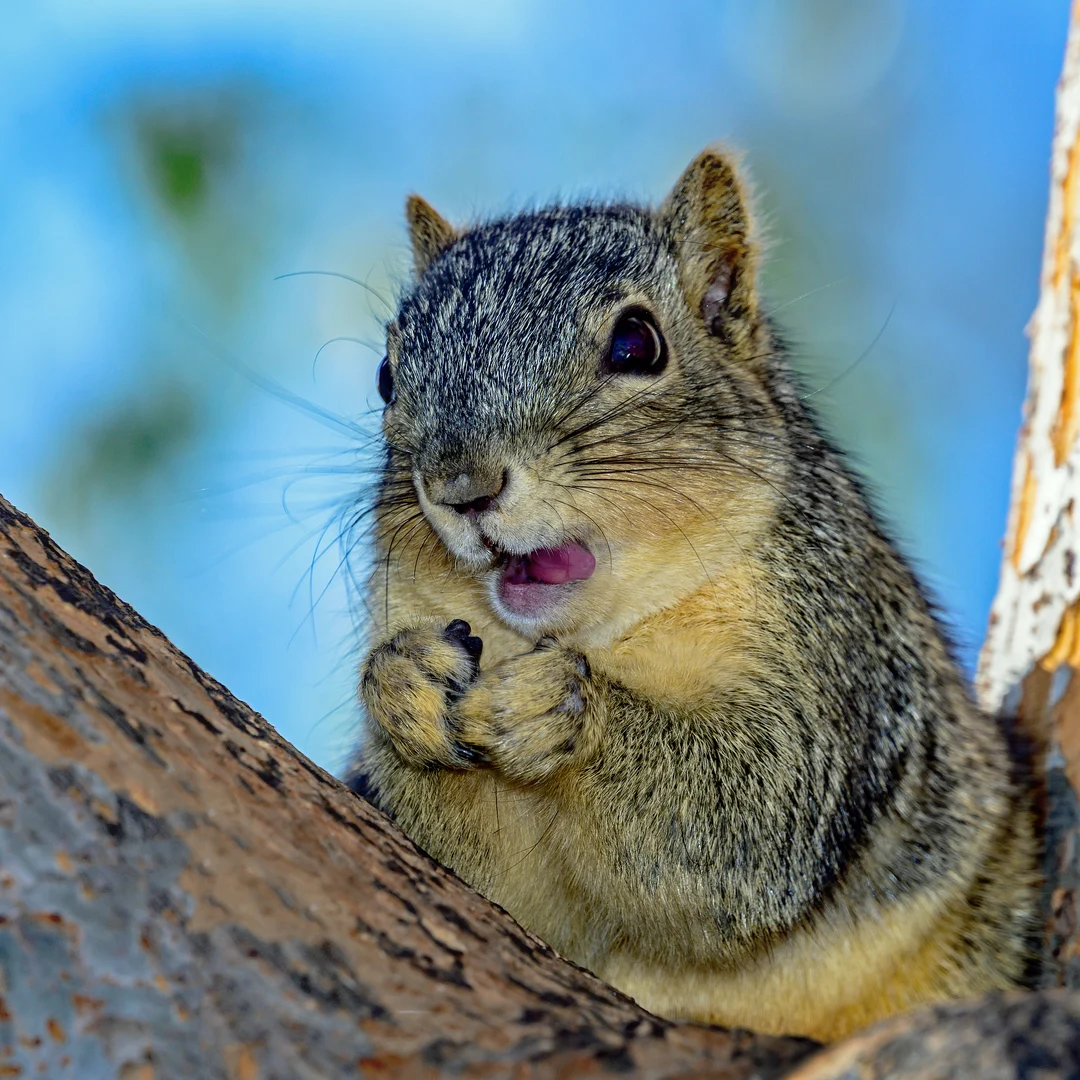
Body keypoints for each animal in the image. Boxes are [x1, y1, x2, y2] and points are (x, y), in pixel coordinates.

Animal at [349, 148, 1039, 1042]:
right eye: (387, 375)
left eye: (636, 343)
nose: (463, 488)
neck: (592, 631)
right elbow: (481, 876)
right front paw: (402, 687)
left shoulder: (831, 654)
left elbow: (752, 822)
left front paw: (560, 708)